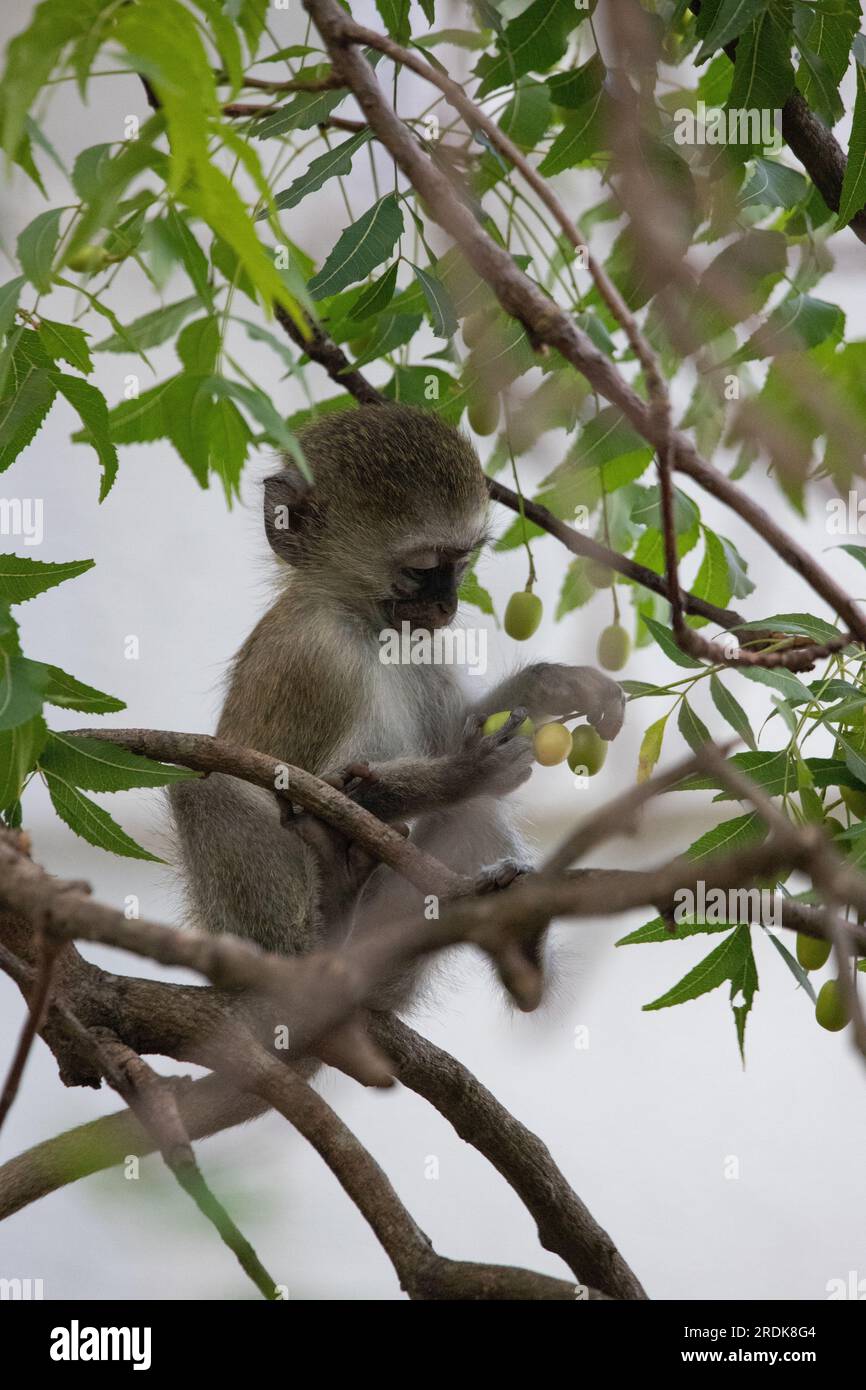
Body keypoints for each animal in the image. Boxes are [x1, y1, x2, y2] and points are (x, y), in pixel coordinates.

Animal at [168, 404, 625, 1003]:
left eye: (461, 562)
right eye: (420, 569)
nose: (447, 605)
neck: (360, 622)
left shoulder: (421, 651)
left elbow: (462, 726)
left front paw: (553, 685)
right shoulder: (315, 659)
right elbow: (320, 788)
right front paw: (464, 773)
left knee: (471, 817)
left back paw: (518, 947)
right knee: (204, 789)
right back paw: (312, 942)